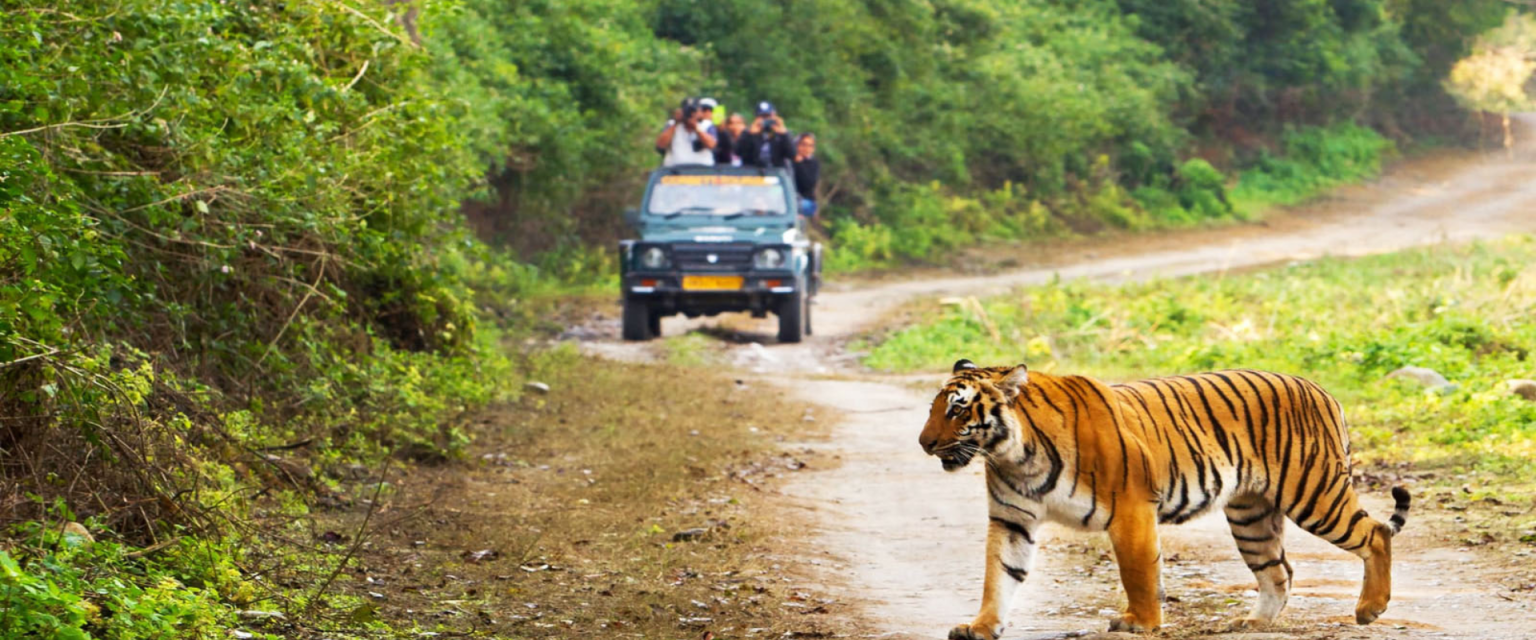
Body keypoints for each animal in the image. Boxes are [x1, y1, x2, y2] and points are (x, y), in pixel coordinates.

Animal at [918, 360, 1411, 639]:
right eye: (933, 408)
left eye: (958, 409)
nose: (924, 443)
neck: (1014, 454)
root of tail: (1321, 390)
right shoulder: (1012, 519)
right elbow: (998, 576)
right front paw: (980, 627)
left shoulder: (1131, 508)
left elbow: (1137, 571)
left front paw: (1140, 623)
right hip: (1251, 515)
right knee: (1279, 571)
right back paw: (1253, 623)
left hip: (1314, 493)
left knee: (1376, 533)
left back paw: (1370, 609)